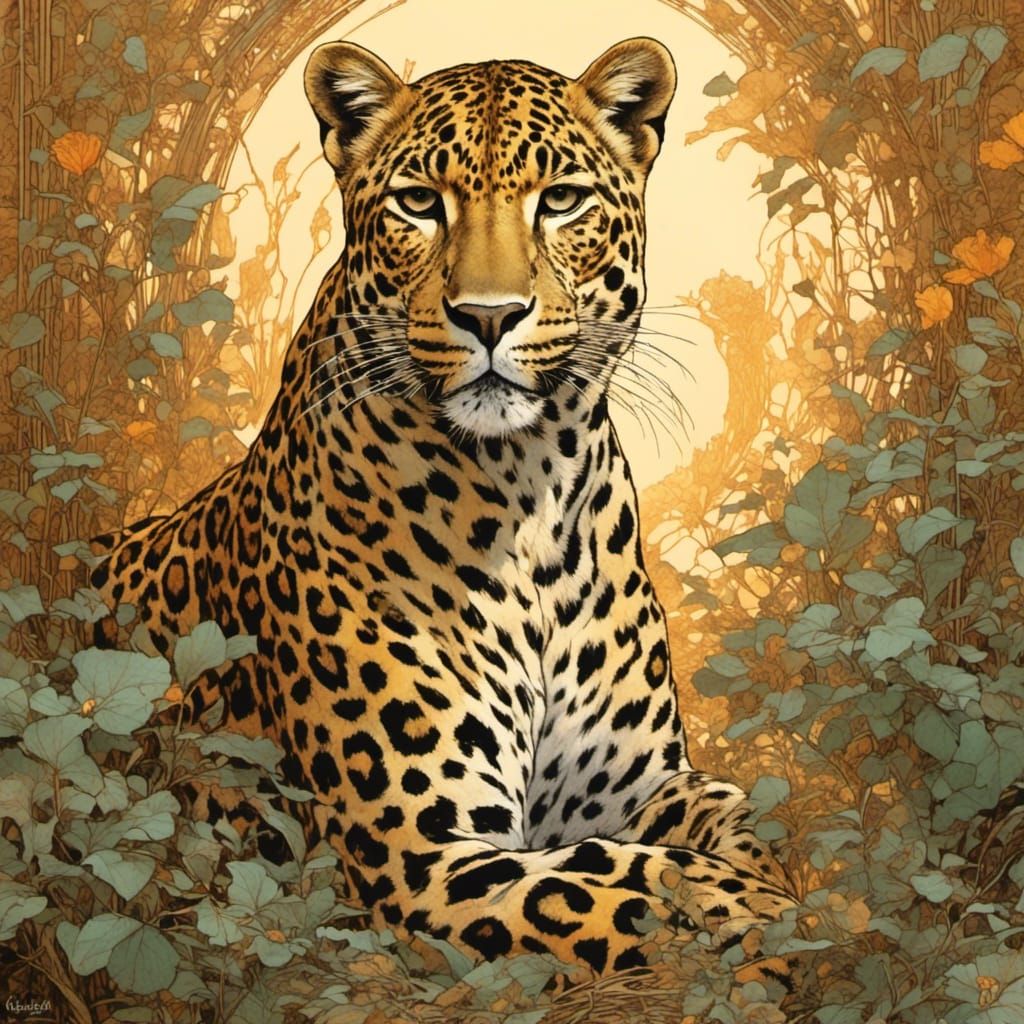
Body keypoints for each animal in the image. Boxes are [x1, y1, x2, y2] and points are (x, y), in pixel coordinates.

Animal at [91, 37, 795, 974]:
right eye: (419, 203)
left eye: (560, 200)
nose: (488, 317)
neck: (531, 495)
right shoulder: (419, 853)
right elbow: (621, 881)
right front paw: (757, 913)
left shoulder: (636, 782)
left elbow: (724, 812)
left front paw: (769, 880)